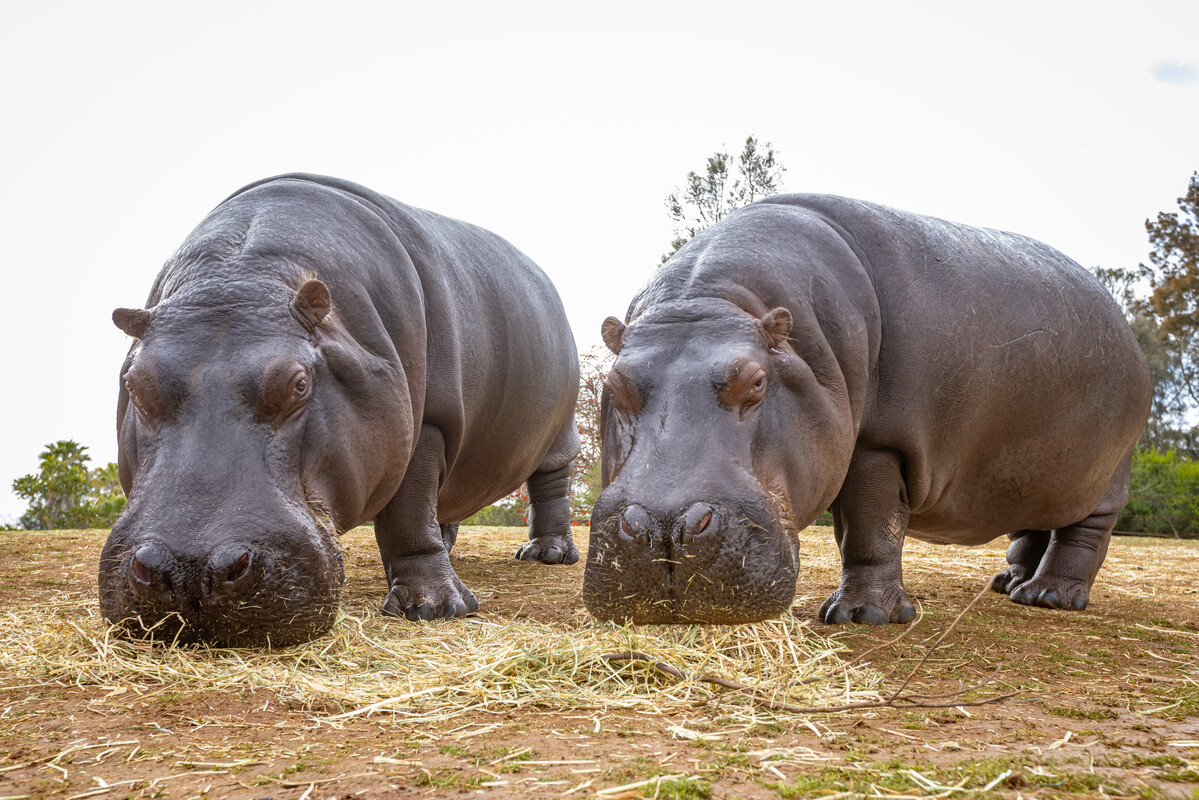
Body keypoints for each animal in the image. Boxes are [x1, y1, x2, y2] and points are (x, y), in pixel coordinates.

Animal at [101, 174, 580, 647]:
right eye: (133, 385)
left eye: (300, 384)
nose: (191, 571)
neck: (241, 276)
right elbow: (418, 510)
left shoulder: (429, 424)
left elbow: (409, 514)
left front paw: (435, 610)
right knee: (443, 501)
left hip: (561, 430)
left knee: (551, 484)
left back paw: (546, 555)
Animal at [584, 194, 1151, 625]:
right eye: (614, 384)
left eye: (758, 382)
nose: (663, 530)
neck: (719, 301)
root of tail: (1127, 331)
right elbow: (854, 532)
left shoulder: (878, 442)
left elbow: (872, 525)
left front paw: (862, 616)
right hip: (1028, 469)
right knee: (1031, 524)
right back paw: (1007, 582)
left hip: (1105, 476)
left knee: (1084, 534)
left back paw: (1048, 597)